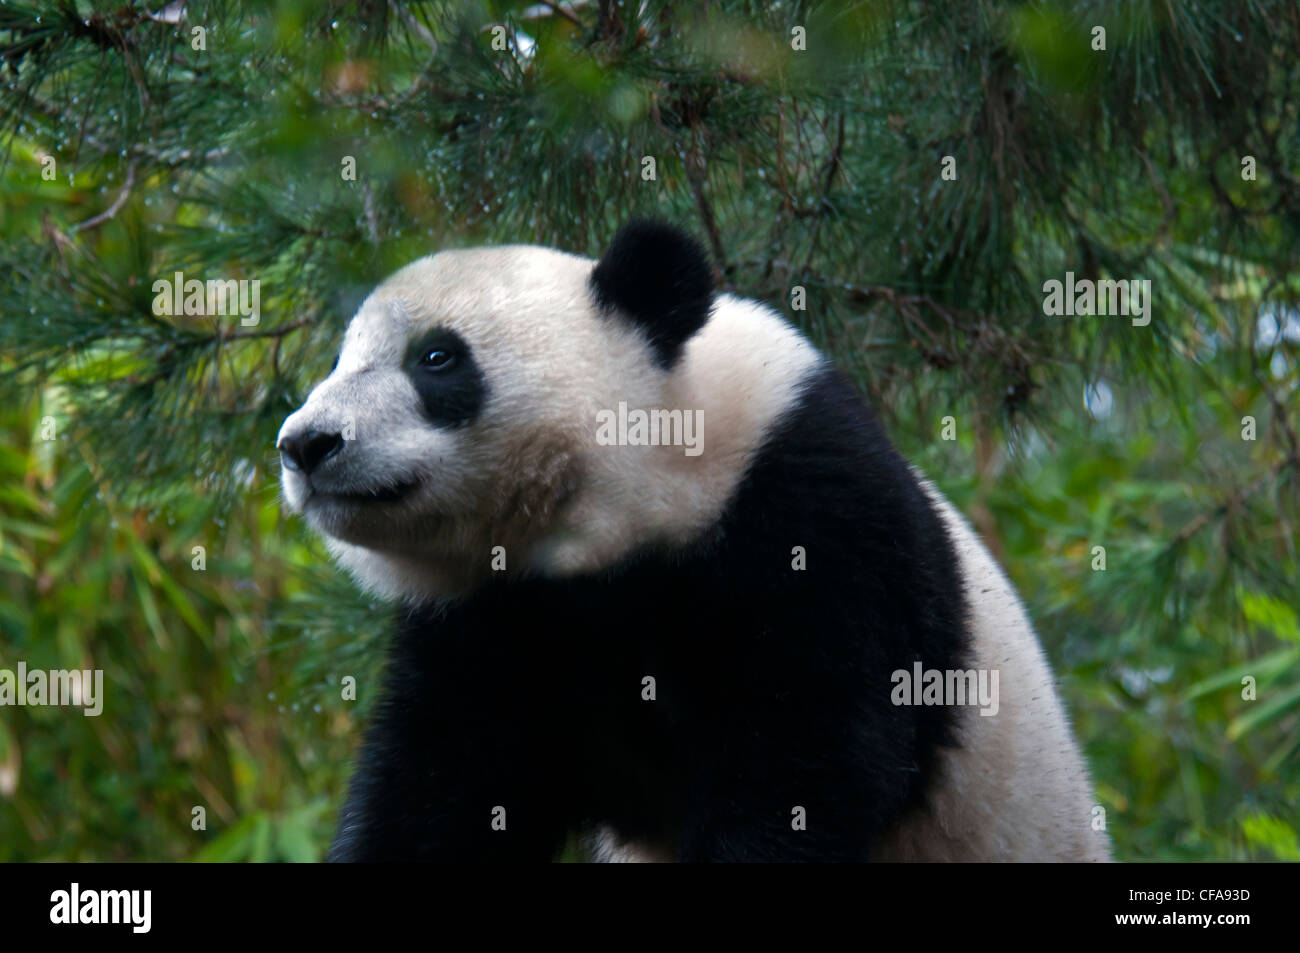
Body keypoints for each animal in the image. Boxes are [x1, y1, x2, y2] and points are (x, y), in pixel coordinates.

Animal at [277, 219, 1110, 862]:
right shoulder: (494, 621)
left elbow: (805, 761)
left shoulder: (814, 522)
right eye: (339, 362)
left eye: (436, 357)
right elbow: (443, 787)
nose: (305, 444)